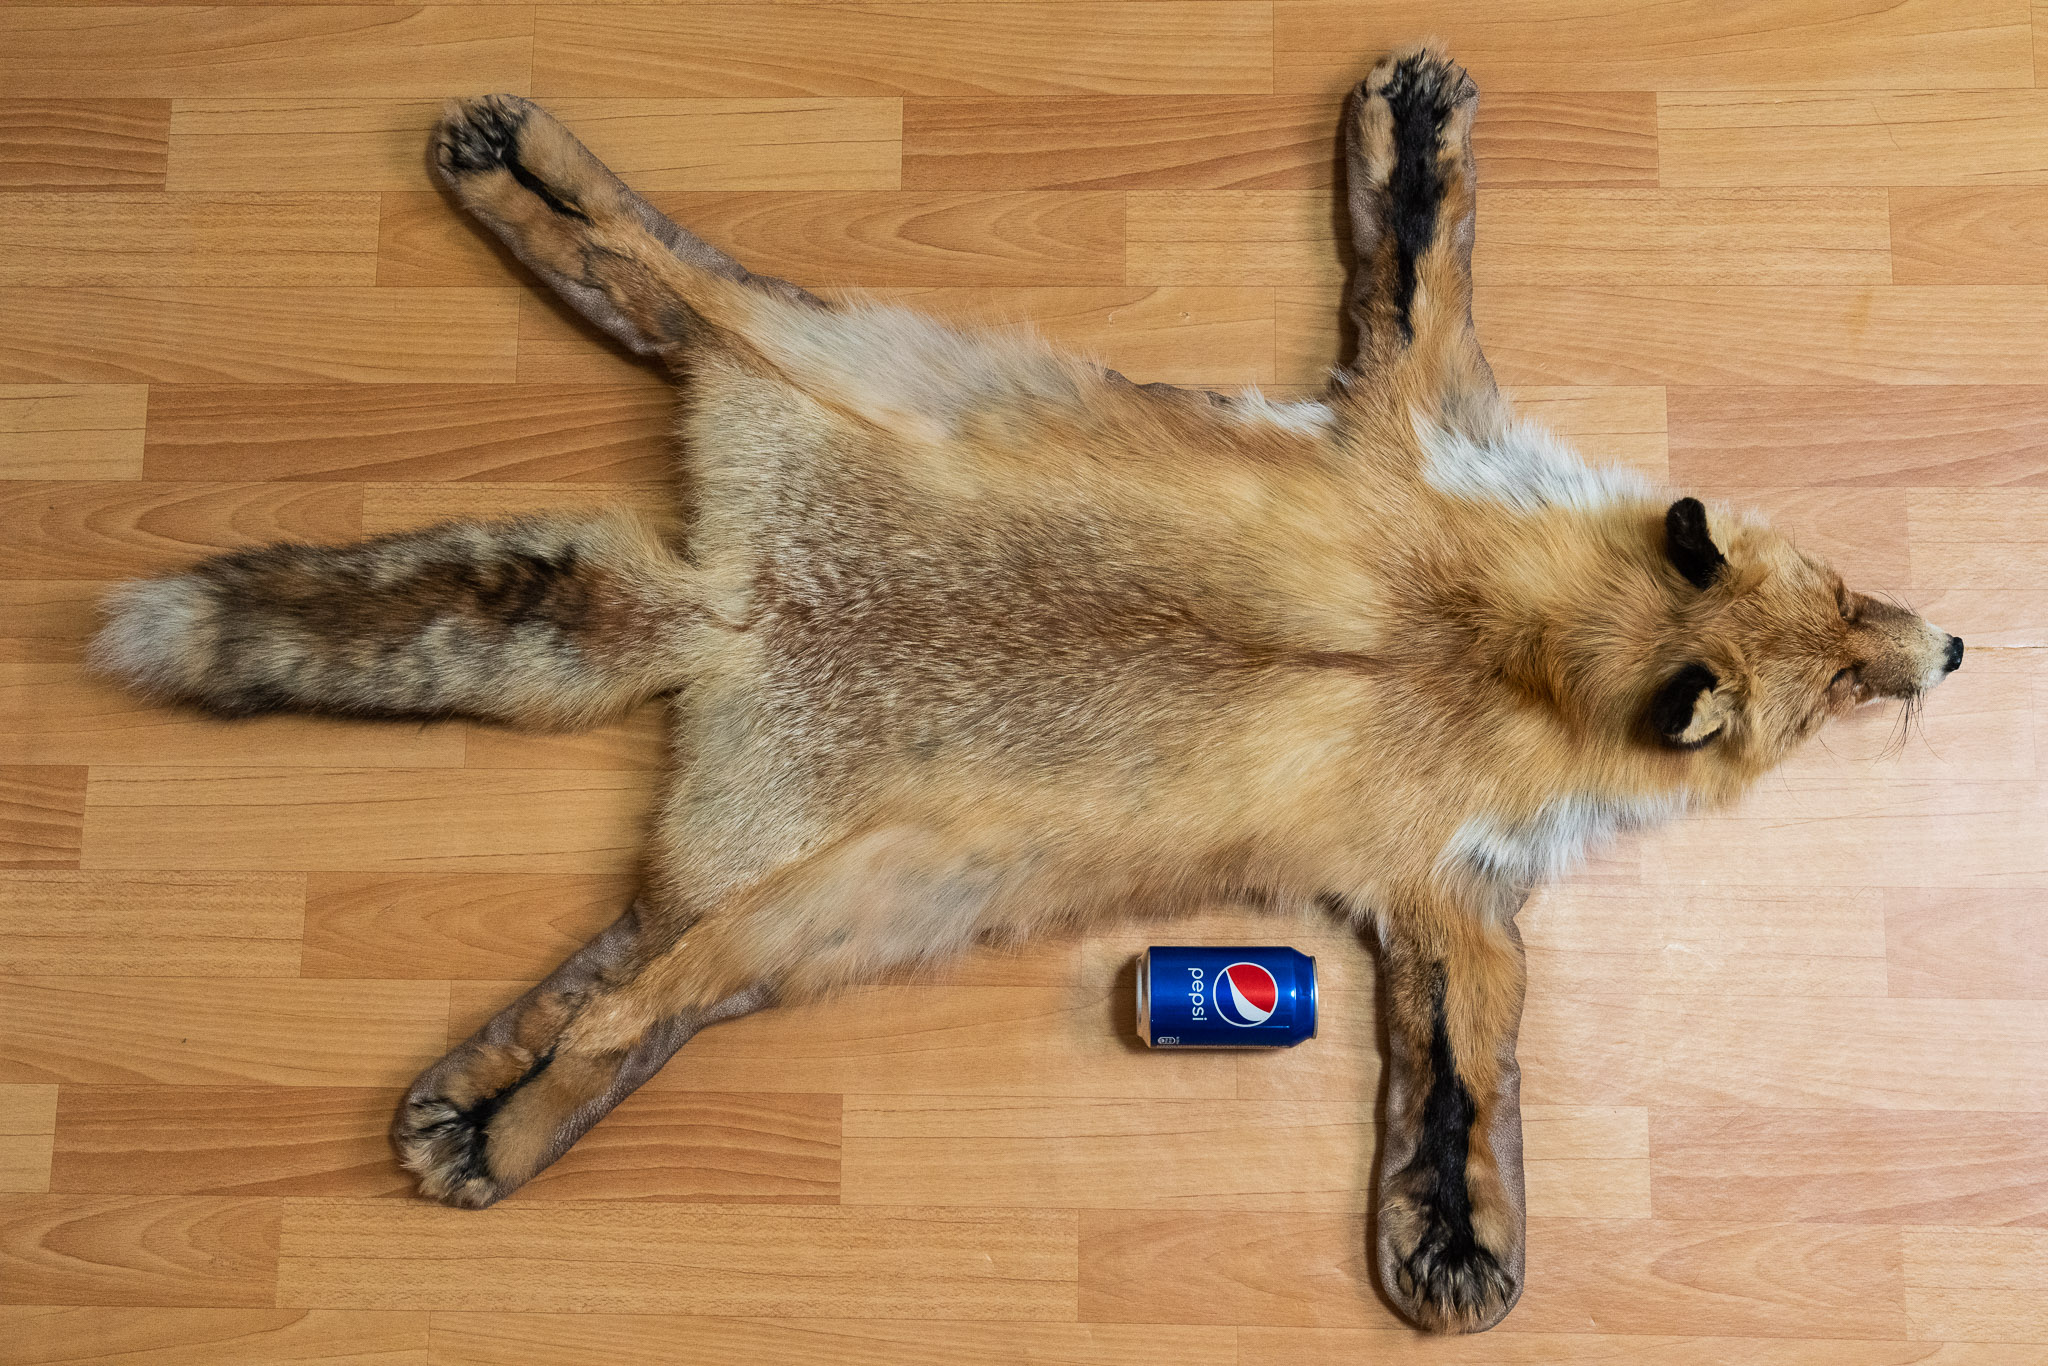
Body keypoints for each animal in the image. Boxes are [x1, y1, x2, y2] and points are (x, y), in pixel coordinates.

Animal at [88, 44, 1962, 1334]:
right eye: (1830, 676)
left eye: (1844, 616)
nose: (1946, 648)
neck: (1499, 643)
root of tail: (725, 616)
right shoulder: (1448, 836)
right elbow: (1469, 1083)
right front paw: (1454, 1241)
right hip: (811, 807)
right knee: (659, 281)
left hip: (768, 876)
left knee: (602, 983)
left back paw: (471, 1111)